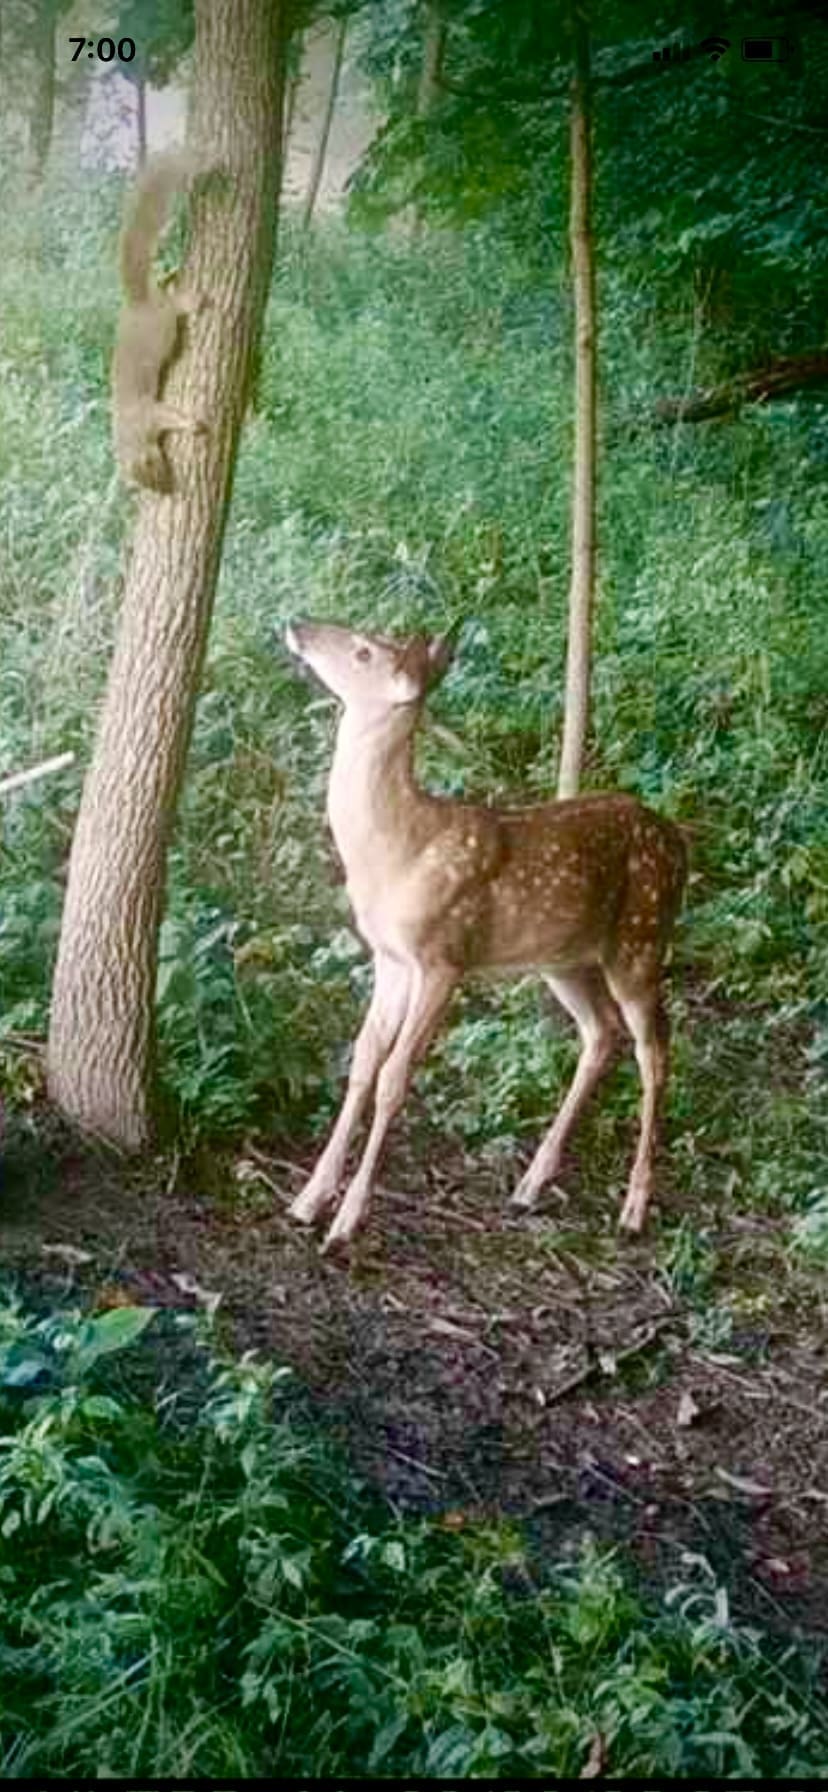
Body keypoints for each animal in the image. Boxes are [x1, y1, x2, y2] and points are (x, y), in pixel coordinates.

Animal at [112, 150, 207, 493]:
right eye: (148, 482)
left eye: (151, 467)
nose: (166, 489)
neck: (130, 432)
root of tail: (138, 302)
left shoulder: (150, 414)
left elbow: (170, 415)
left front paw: (193, 424)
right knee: (162, 285)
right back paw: (171, 276)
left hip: (163, 325)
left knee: (174, 308)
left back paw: (192, 301)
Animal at [284, 619, 687, 1255]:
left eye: (365, 650)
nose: (298, 625)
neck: (396, 852)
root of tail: (682, 846)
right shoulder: (390, 958)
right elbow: (364, 1060)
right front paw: (307, 1200)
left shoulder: (442, 957)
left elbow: (394, 1077)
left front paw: (347, 1221)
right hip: (563, 958)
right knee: (601, 1032)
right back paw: (531, 1182)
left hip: (641, 940)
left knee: (656, 1049)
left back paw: (633, 1207)